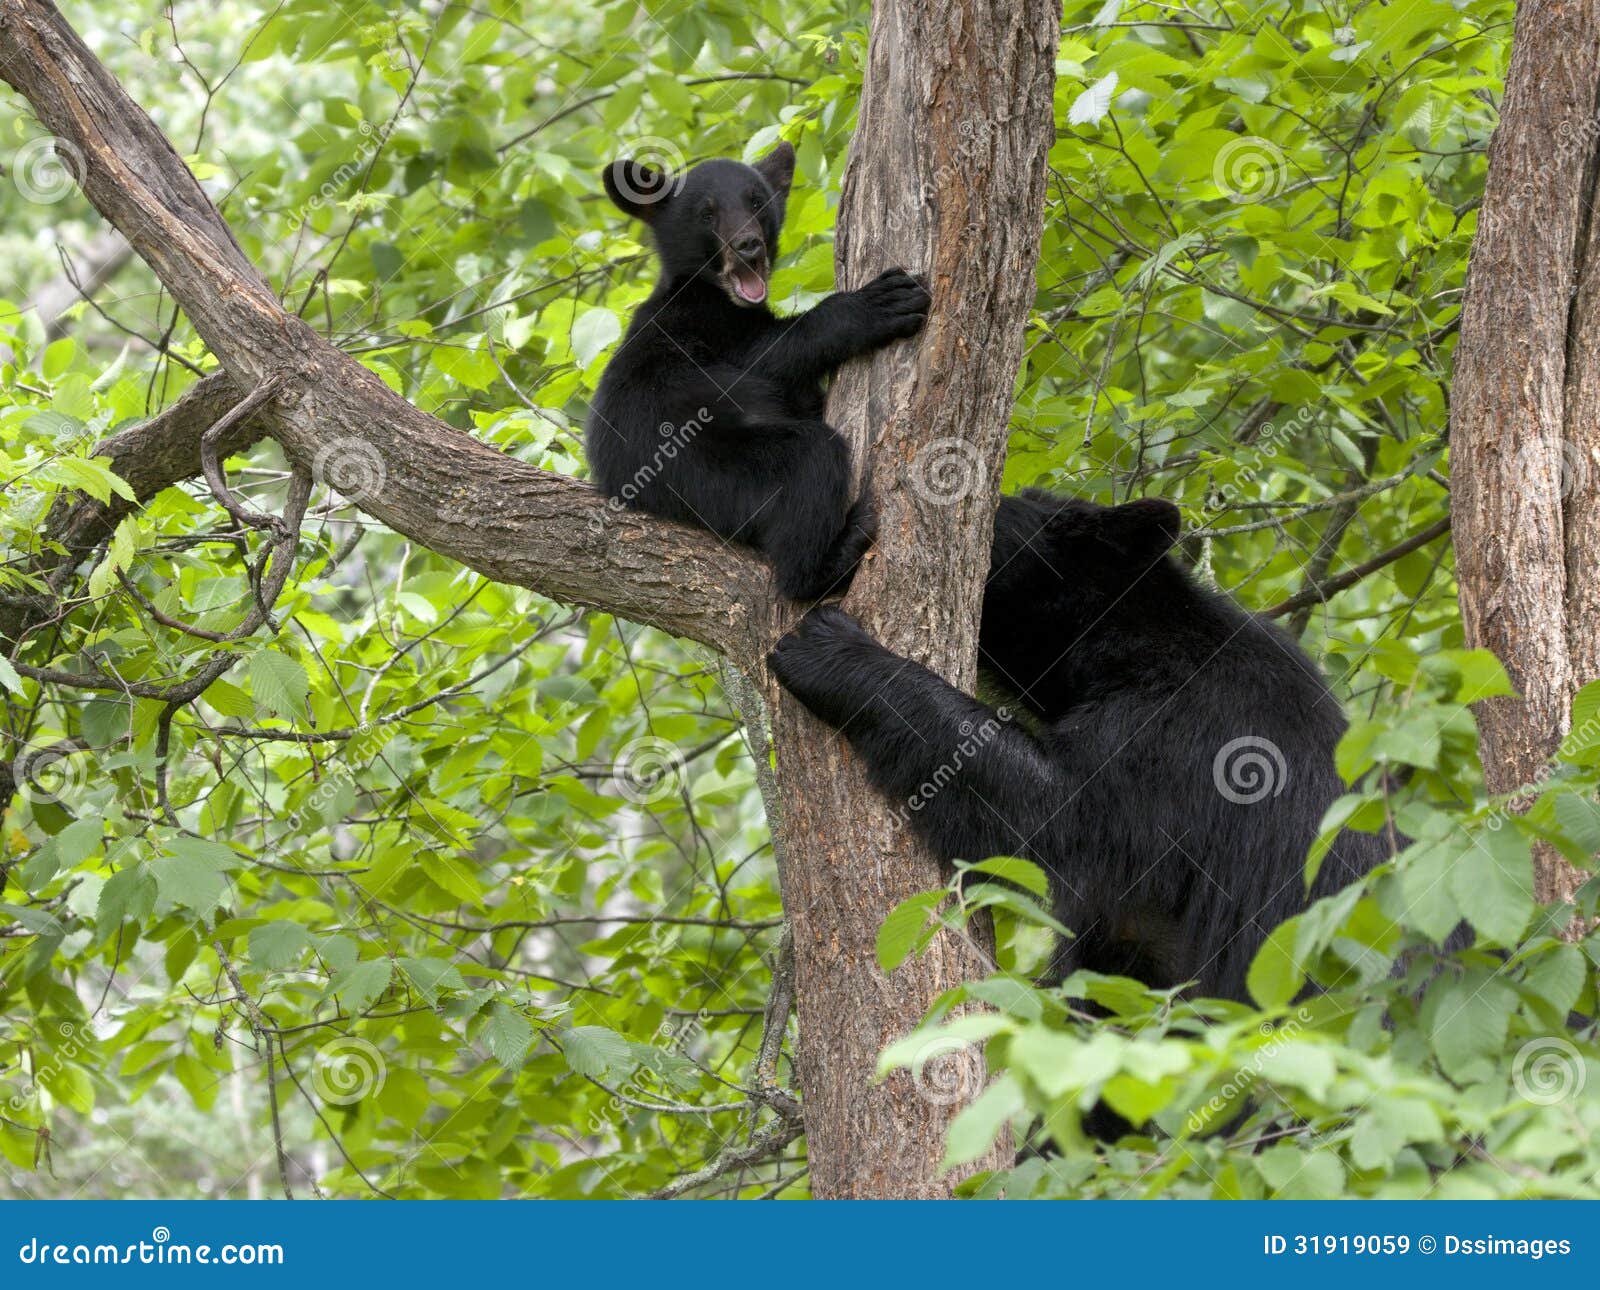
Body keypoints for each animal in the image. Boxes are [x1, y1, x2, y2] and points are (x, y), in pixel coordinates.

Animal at [586, 140, 931, 600]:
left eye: (756, 201)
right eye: (707, 213)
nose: (747, 244)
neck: (715, 294)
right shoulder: (703, 329)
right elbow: (769, 355)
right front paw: (878, 304)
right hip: (710, 471)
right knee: (811, 458)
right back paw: (831, 556)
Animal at [768, 488, 1390, 1004]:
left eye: (985, 516)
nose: (835, 549)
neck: (1126, 640)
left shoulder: (1181, 736)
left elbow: (1057, 815)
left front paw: (830, 654)